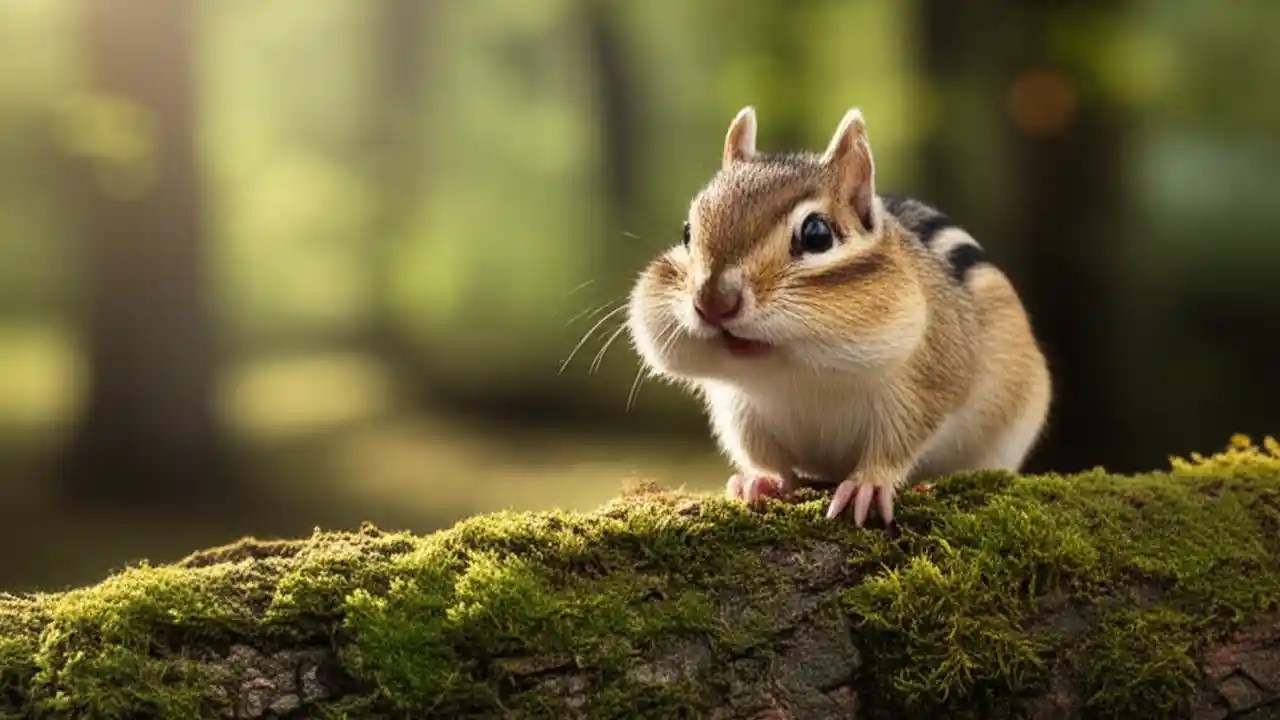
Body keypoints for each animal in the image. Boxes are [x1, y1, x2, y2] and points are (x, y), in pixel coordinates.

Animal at [626, 106, 1052, 528]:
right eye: (687, 233)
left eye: (817, 235)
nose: (714, 302)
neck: (802, 370)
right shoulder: (742, 412)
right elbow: (769, 461)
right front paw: (756, 481)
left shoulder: (925, 381)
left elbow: (897, 444)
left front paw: (868, 485)